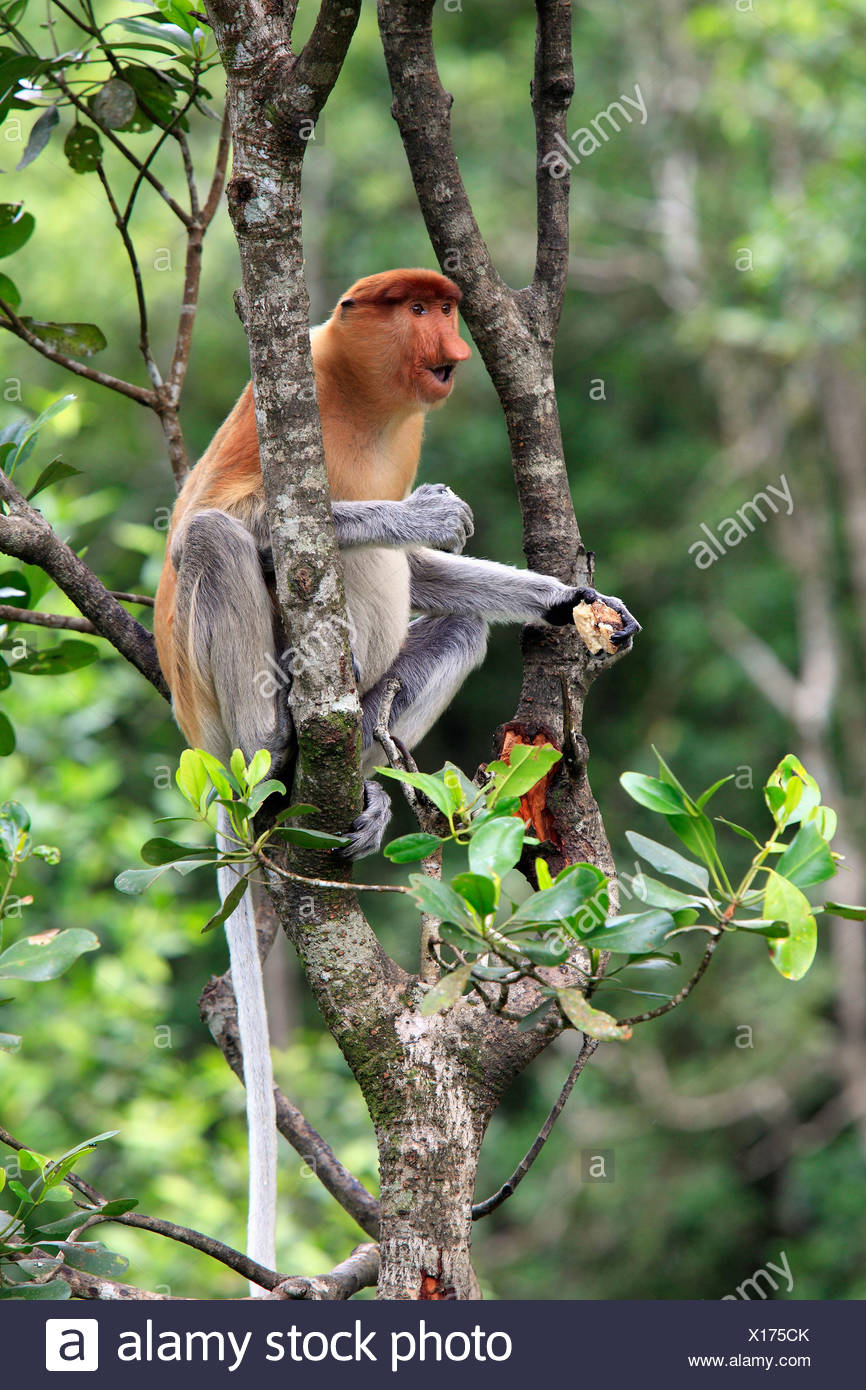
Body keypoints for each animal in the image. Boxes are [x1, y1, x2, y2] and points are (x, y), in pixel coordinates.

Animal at [153, 267, 639, 1286]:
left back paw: (369, 770)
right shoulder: (282, 389)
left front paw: (572, 602)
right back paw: (280, 744)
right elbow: (241, 517)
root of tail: (208, 749)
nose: (447, 341)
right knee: (217, 537)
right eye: (416, 307)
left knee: (451, 624)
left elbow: (427, 579)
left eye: (446, 307)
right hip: (215, 709)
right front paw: (426, 508)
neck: (368, 404)